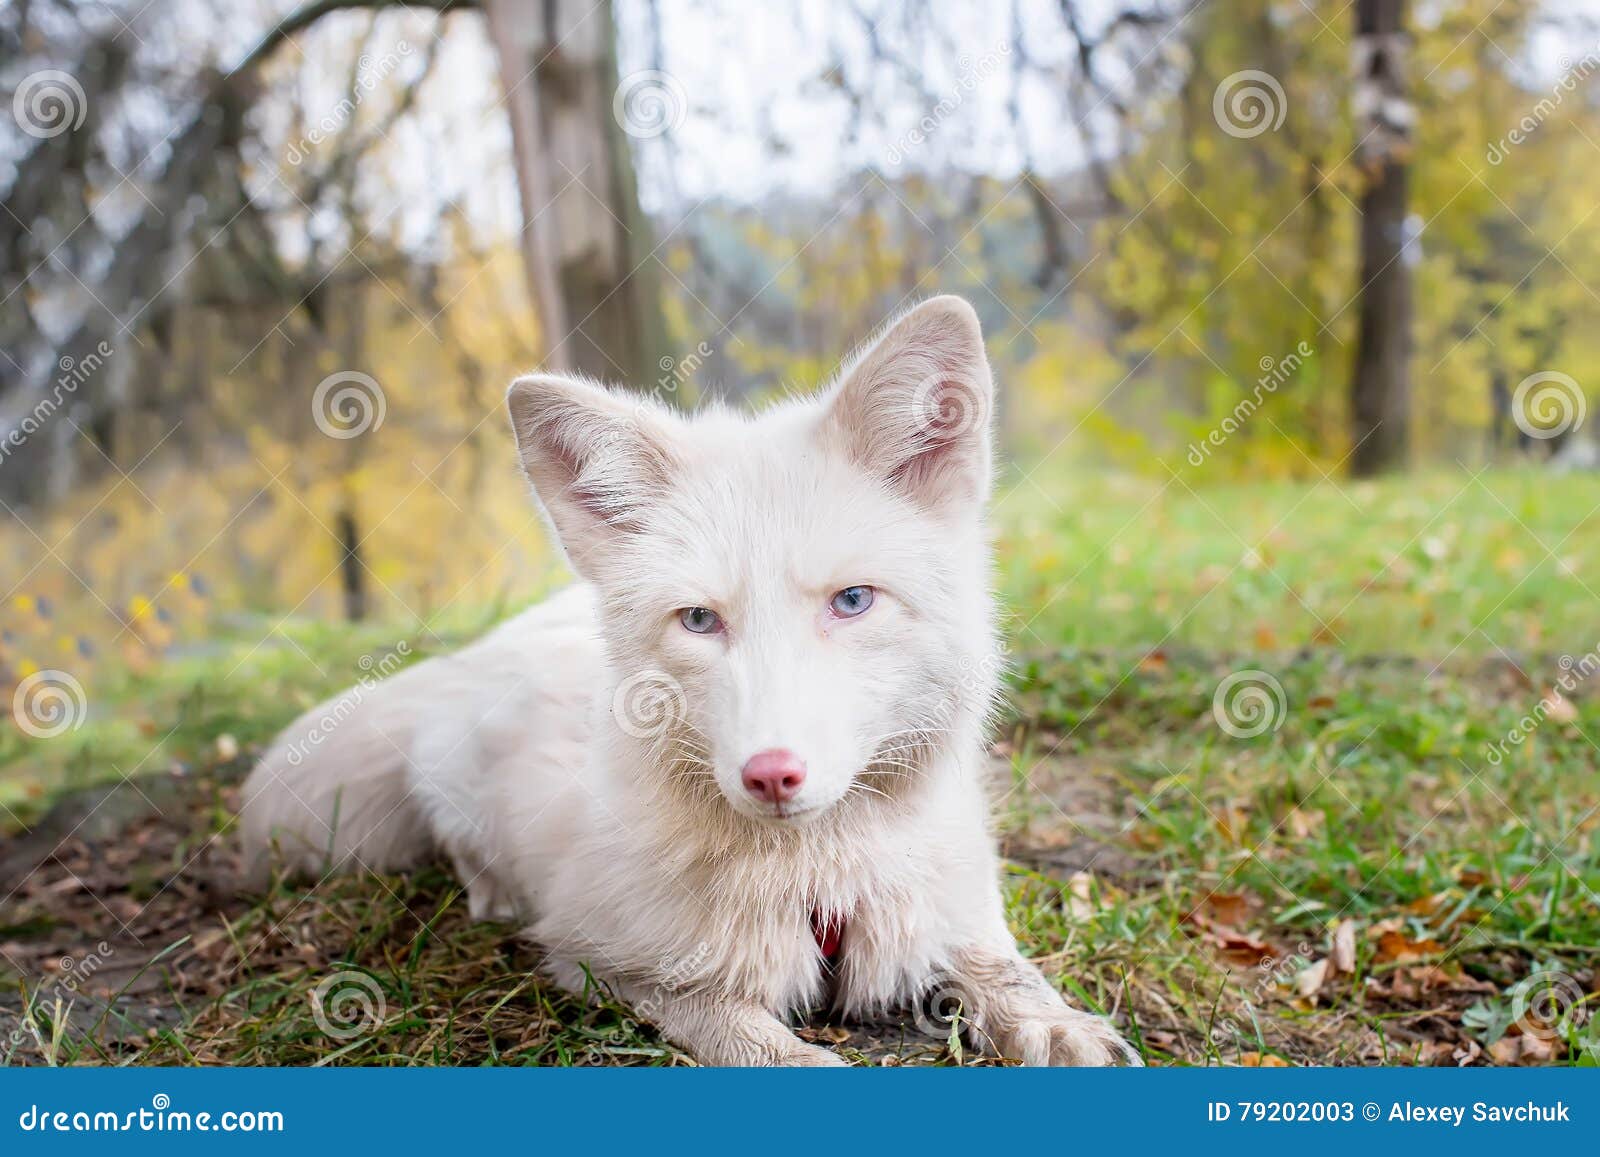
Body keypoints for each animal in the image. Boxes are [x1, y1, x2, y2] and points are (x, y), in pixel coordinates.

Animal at [239, 296, 1140, 1067]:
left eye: (852, 600)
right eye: (700, 620)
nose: (772, 774)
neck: (817, 878)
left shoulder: (950, 902)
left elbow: (1001, 963)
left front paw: (1057, 1023)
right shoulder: (596, 952)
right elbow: (742, 1031)